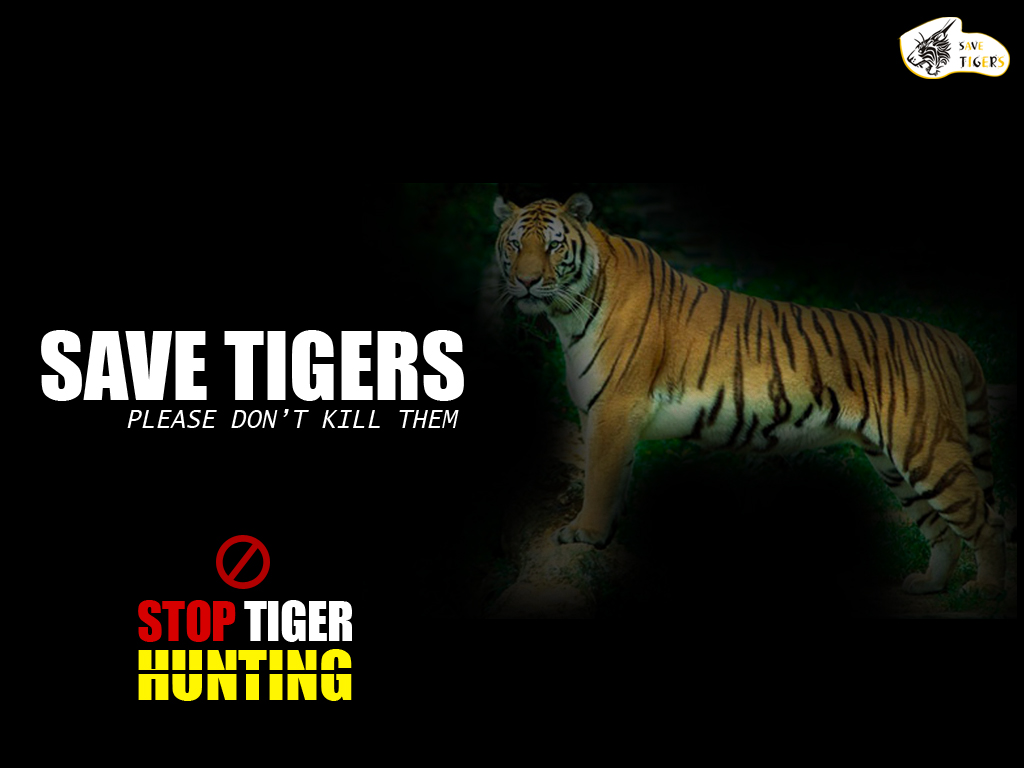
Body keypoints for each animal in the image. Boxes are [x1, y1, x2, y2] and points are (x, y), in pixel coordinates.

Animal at [493, 192, 1006, 596]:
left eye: (554, 244)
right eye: (515, 244)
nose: (527, 281)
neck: (568, 314)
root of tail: (947, 336)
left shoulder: (615, 409)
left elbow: (599, 481)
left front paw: (583, 533)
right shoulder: (601, 414)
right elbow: (614, 480)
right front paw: (601, 540)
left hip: (927, 448)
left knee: (986, 522)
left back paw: (985, 590)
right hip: (892, 463)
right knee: (942, 530)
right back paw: (930, 585)